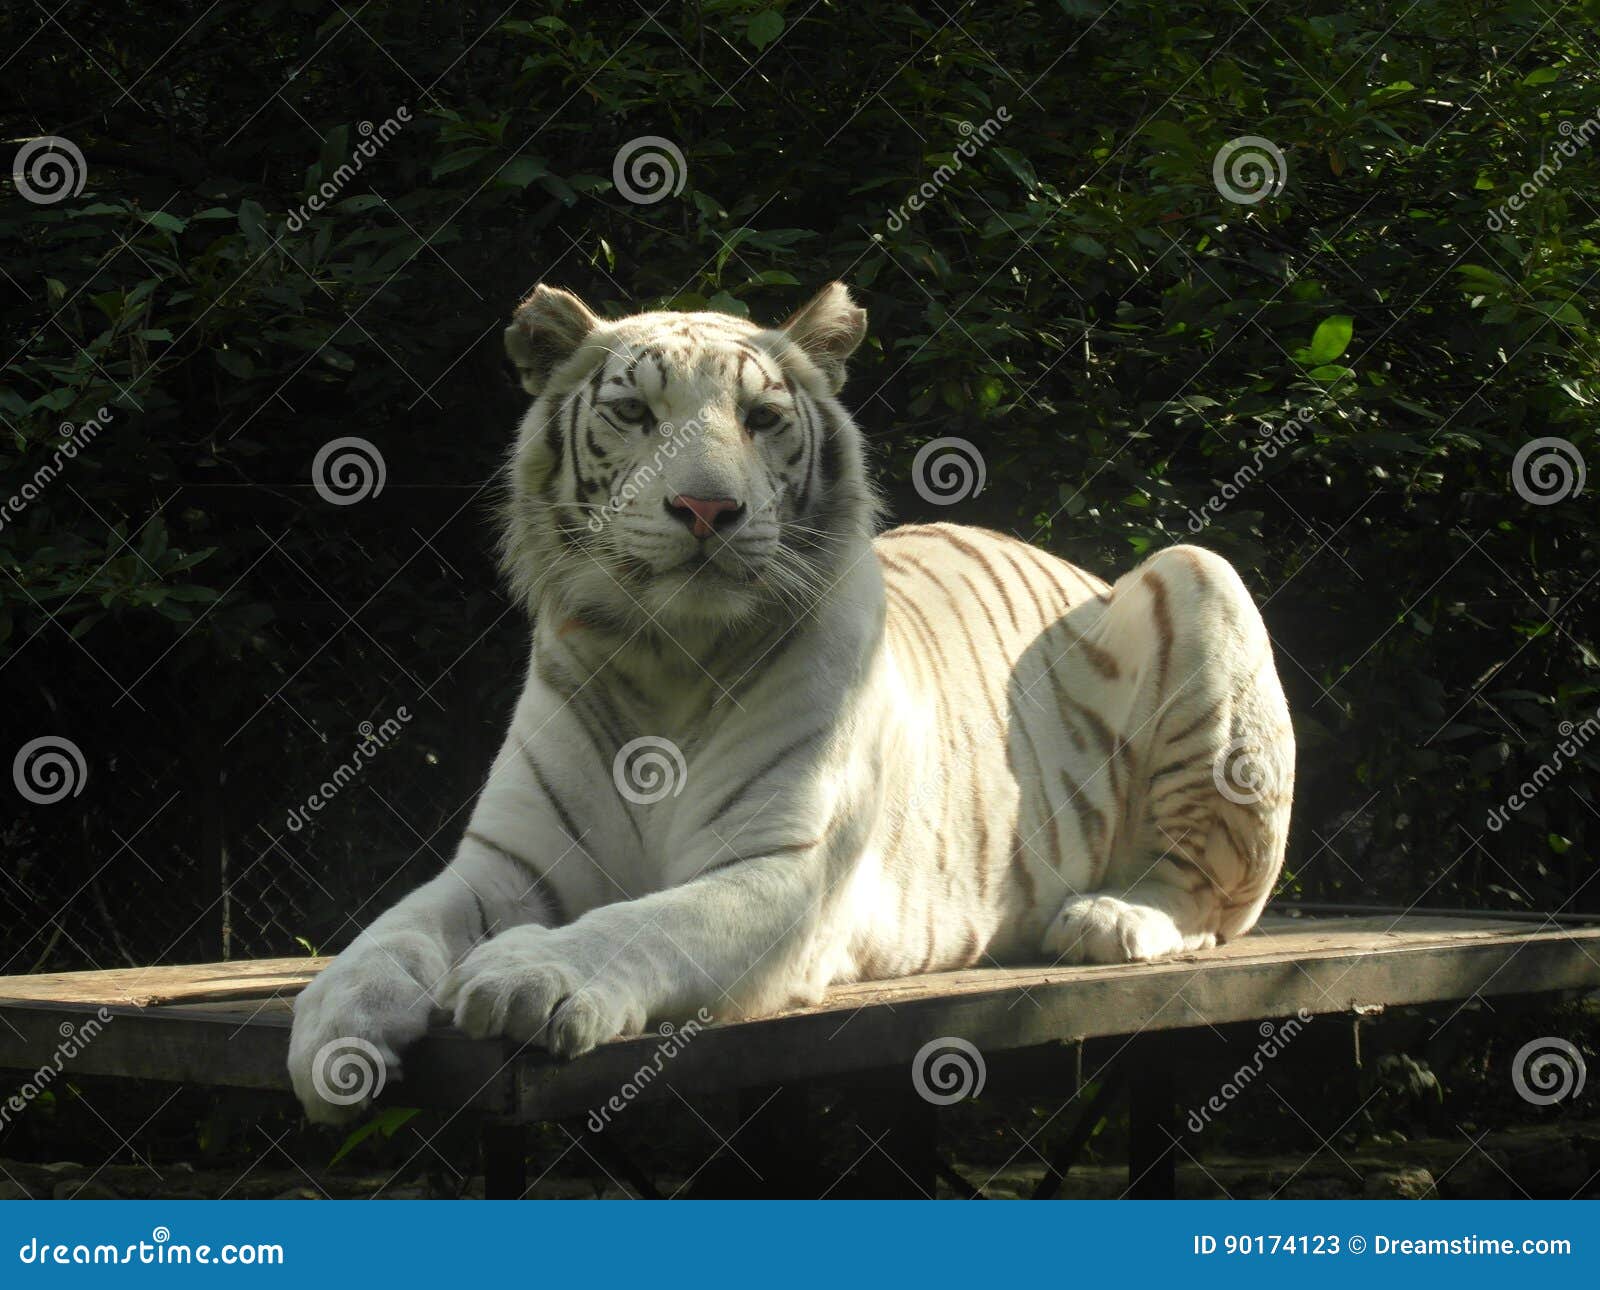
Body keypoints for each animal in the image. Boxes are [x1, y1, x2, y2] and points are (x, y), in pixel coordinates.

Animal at [288, 282, 1295, 1124]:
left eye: (762, 418)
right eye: (633, 413)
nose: (706, 509)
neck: (665, 656)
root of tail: (1080, 567)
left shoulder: (787, 870)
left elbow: (639, 922)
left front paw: (529, 968)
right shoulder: (506, 863)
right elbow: (397, 926)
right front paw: (333, 1021)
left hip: (1201, 579)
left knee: (1213, 902)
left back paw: (1109, 918)